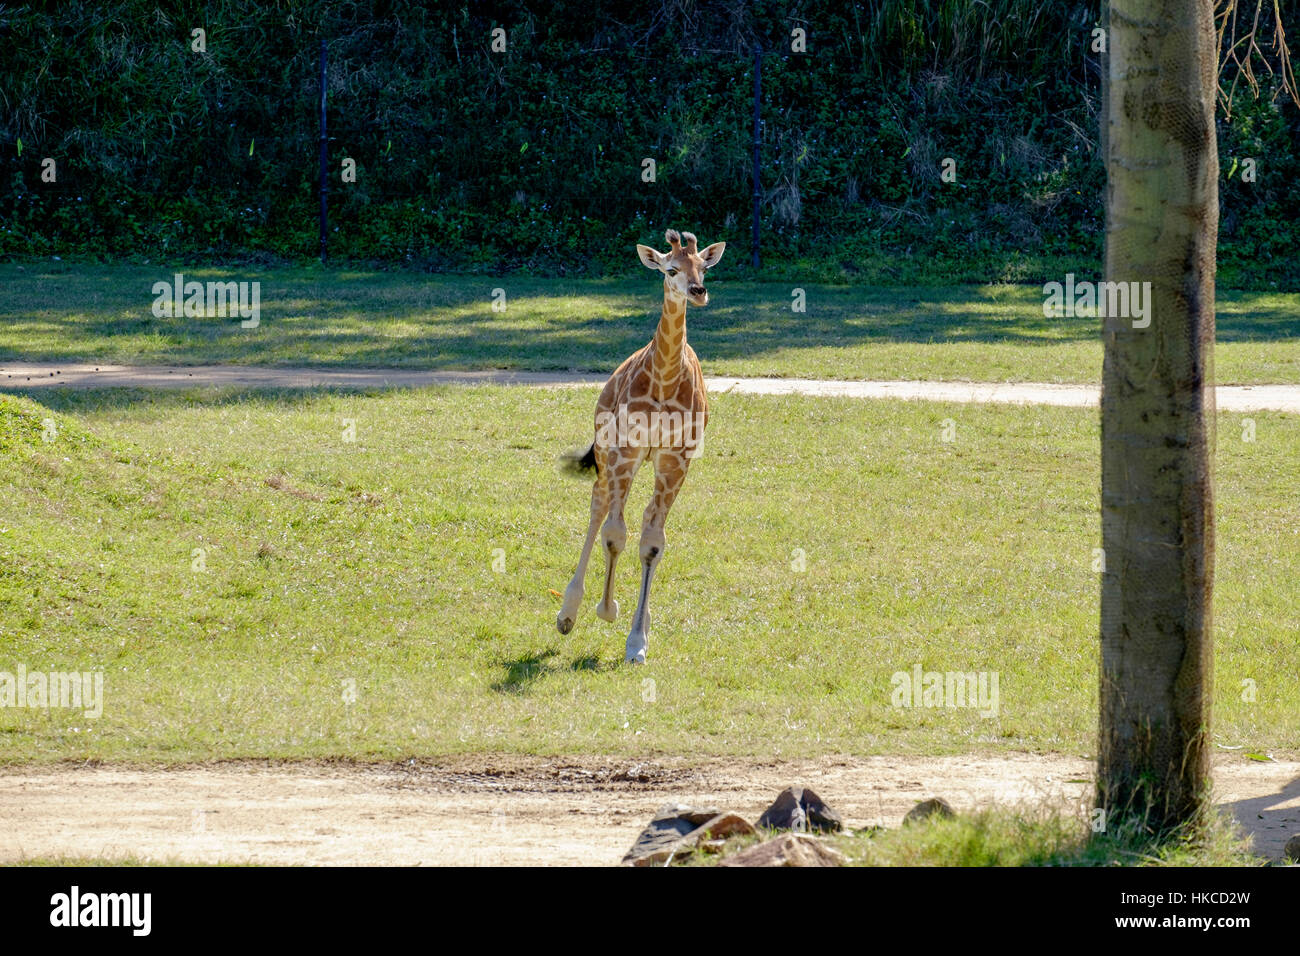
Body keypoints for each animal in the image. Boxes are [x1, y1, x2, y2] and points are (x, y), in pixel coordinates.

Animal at [556, 228, 725, 663]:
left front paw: (637, 641)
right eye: (670, 269)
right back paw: (568, 612)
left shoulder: (675, 460)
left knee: (641, 521)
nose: (698, 291)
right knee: (598, 509)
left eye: (703, 267)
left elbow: (652, 542)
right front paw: (606, 610)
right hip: (607, 454)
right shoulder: (623, 451)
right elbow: (614, 533)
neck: (663, 381)